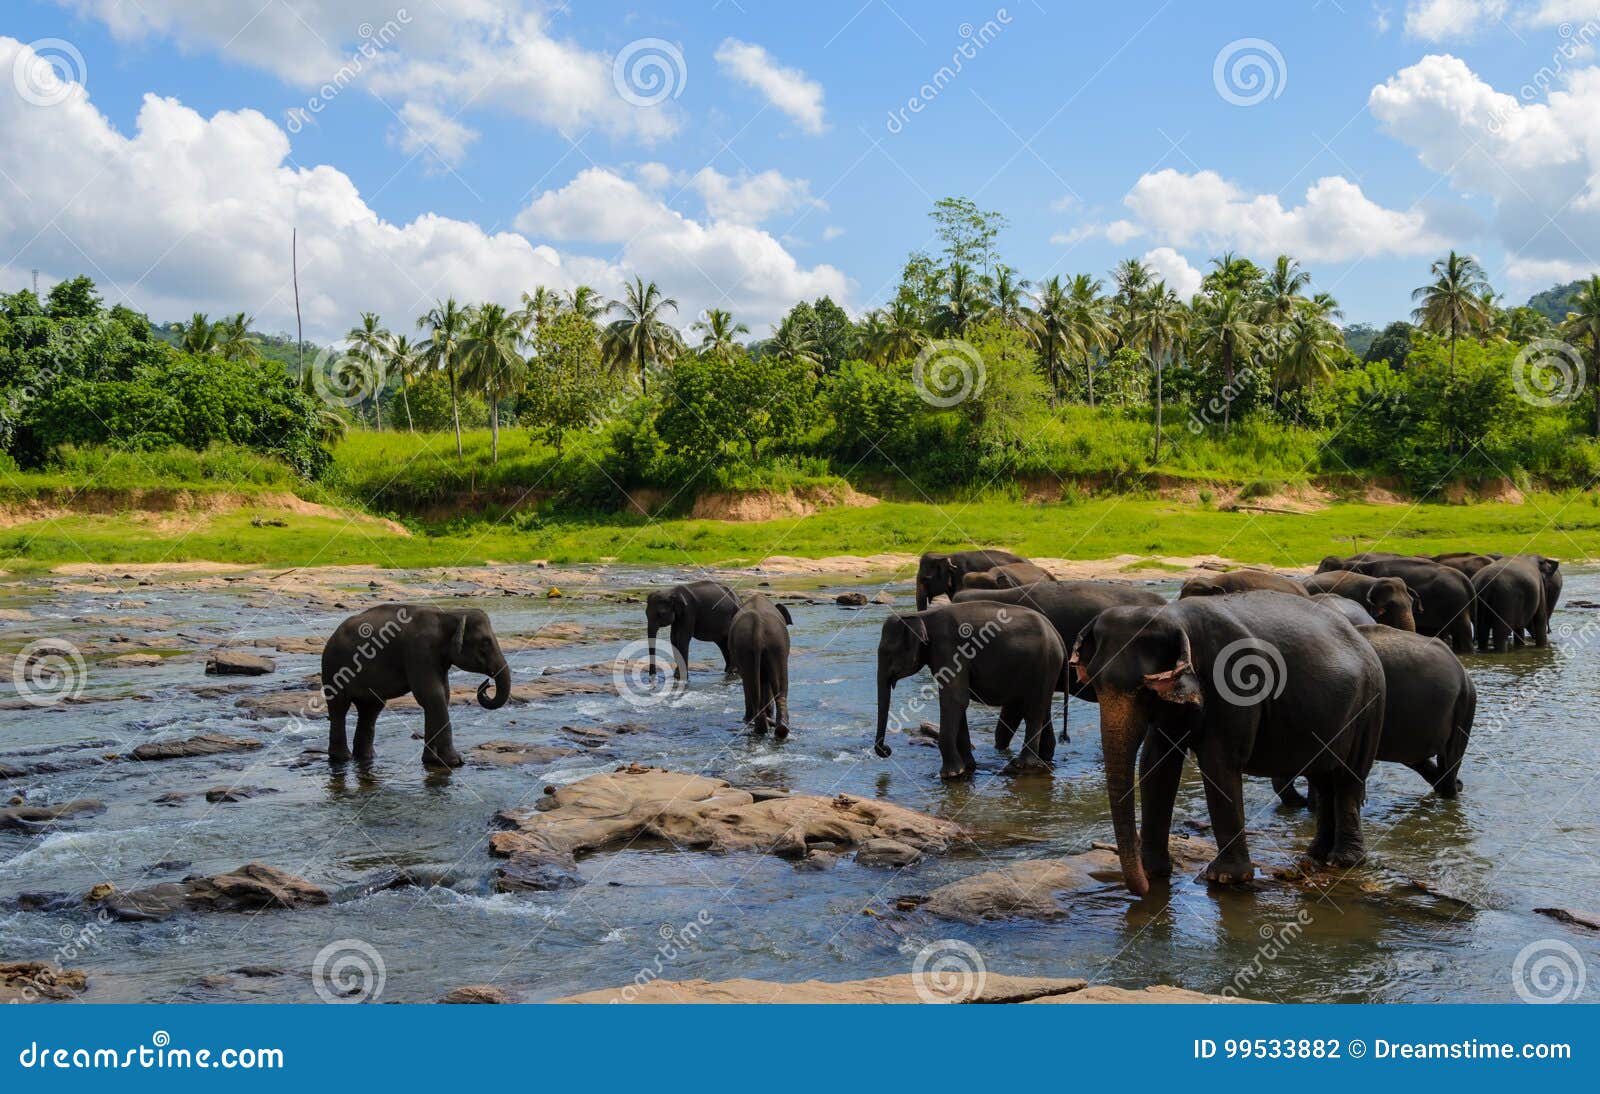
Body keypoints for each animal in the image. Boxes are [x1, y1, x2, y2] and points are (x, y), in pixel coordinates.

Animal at [321, 604, 510, 768]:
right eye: (485, 642)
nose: (487, 684)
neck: (448, 614)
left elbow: (442, 695)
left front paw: (432, 761)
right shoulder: (419, 651)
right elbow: (432, 694)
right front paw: (455, 762)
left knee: (370, 710)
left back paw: (367, 757)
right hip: (333, 668)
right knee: (340, 708)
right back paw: (342, 758)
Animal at [728, 594, 793, 737]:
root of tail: (758, 628)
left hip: (758, 647)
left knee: (753, 685)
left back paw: (760, 726)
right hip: (774, 645)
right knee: (778, 686)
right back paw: (776, 729)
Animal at [873, 601, 1065, 780]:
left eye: (887, 652)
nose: (886, 750)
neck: (921, 615)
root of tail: (1056, 633)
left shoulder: (949, 649)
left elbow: (954, 699)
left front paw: (950, 774)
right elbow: (959, 702)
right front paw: (968, 767)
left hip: (1044, 664)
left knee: (1034, 710)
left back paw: (1022, 764)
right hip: (1046, 669)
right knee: (1043, 707)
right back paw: (1045, 759)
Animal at [1069, 590, 1385, 894]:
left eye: (1145, 689)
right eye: (1095, 684)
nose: (1141, 891)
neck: (1175, 616)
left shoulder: (1235, 680)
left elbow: (1218, 762)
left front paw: (1225, 878)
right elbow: (1156, 761)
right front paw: (1153, 872)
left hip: (1368, 709)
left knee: (1347, 779)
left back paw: (1344, 860)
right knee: (1323, 777)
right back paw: (1315, 855)